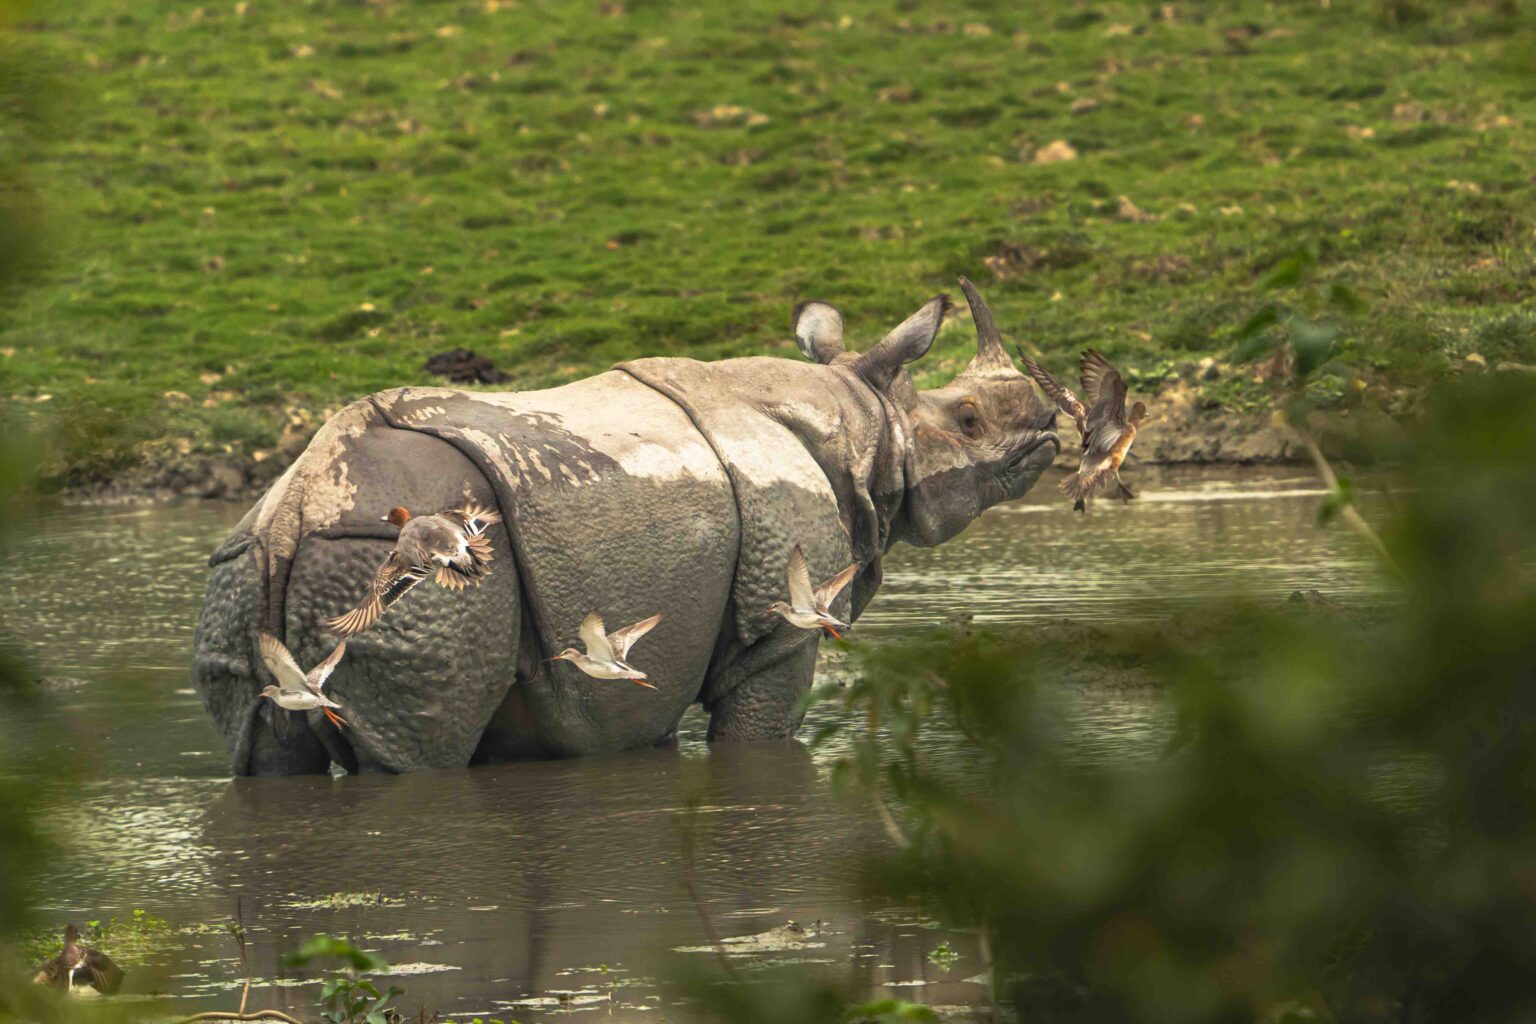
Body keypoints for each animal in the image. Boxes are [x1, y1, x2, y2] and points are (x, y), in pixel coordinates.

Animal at [192, 278, 1060, 775]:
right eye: (971, 420)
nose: (1055, 425)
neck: (865, 419)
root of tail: (294, 510)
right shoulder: (778, 626)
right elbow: (760, 726)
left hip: (253, 562)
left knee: (266, 758)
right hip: (389, 566)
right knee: (418, 760)